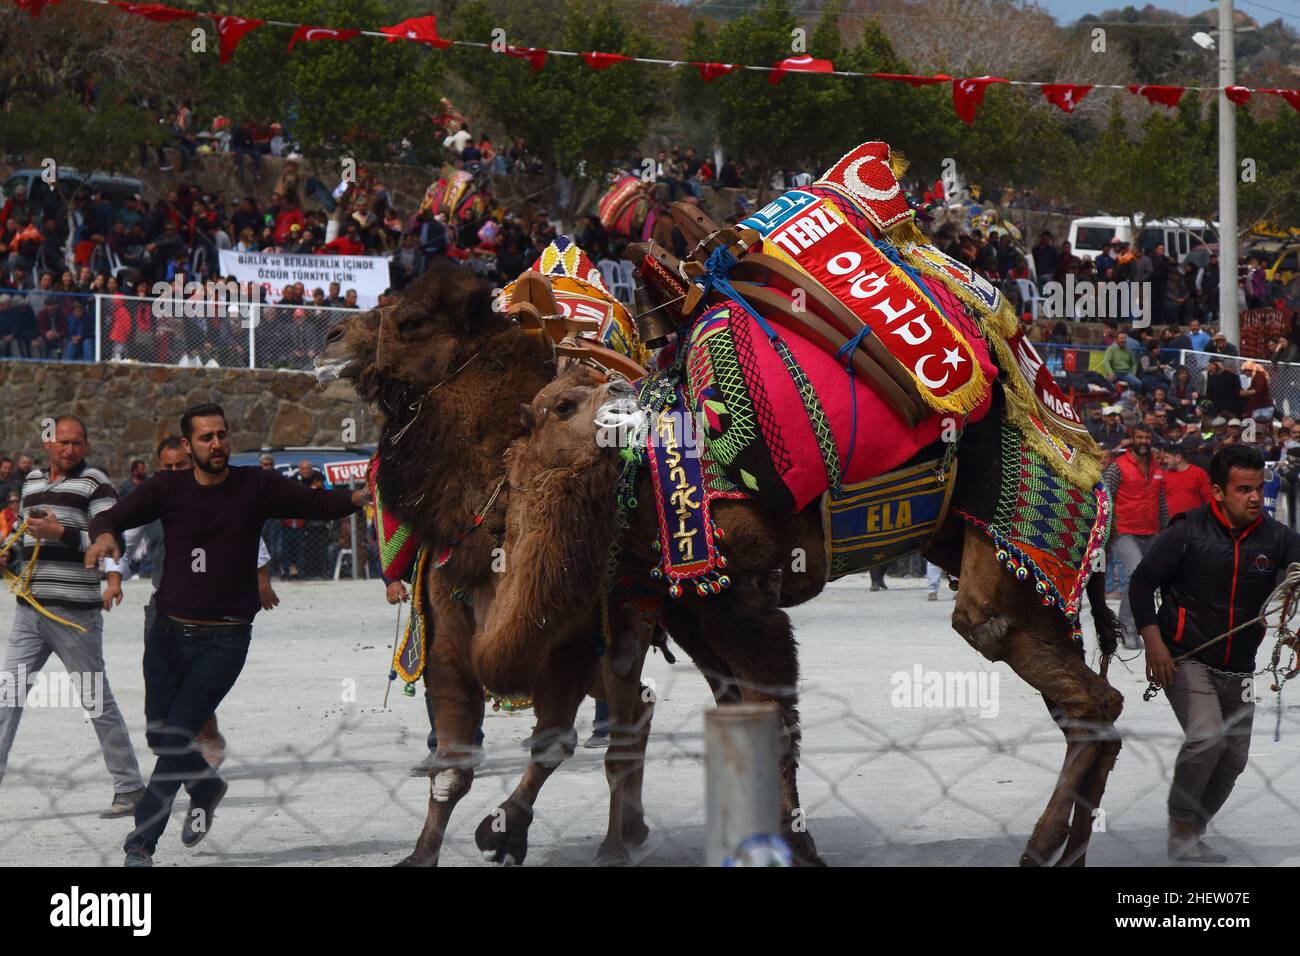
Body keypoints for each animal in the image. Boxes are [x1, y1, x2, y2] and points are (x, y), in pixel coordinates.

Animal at [320, 259, 1124, 867]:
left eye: (409, 320)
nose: (329, 335)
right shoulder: (504, 625)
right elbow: (460, 758)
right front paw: (437, 851)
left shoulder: (713, 603)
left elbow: (759, 720)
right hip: (969, 549)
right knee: (1094, 708)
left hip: (1002, 541)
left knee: (1059, 680)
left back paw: (1042, 848)